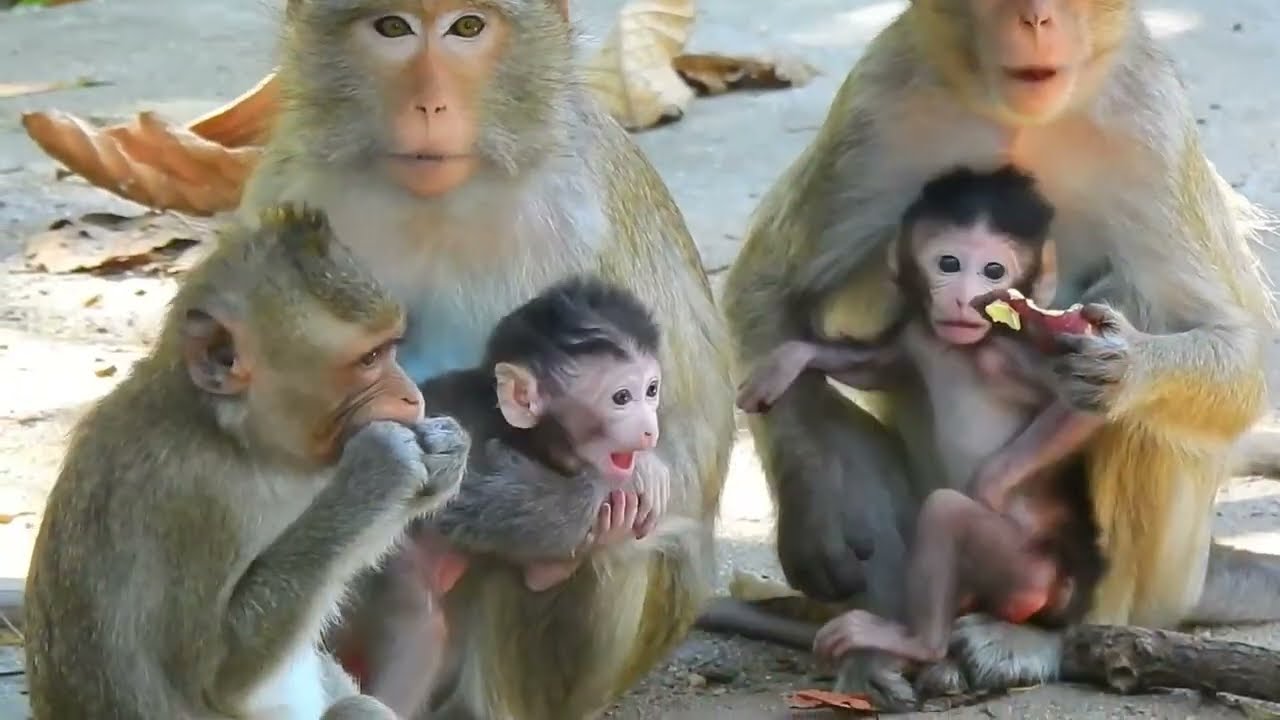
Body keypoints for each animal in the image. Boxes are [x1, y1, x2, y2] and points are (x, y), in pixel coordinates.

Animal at [20, 205, 472, 720]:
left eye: (391, 348)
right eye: (370, 358)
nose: (412, 395)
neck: (234, 439)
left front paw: (443, 451)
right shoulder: (194, 498)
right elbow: (220, 670)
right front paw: (379, 469)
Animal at [238, 1, 735, 718]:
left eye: (467, 28)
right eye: (392, 28)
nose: (429, 103)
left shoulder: (585, 210)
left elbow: (687, 459)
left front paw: (518, 501)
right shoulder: (286, 192)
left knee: (609, 537)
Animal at [717, 0, 1279, 709]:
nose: (1035, 18)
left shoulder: (1154, 126)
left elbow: (1238, 353)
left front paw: (1123, 365)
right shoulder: (878, 105)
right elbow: (769, 290)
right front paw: (812, 513)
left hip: (1108, 579)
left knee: (1141, 391)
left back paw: (1054, 642)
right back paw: (888, 650)